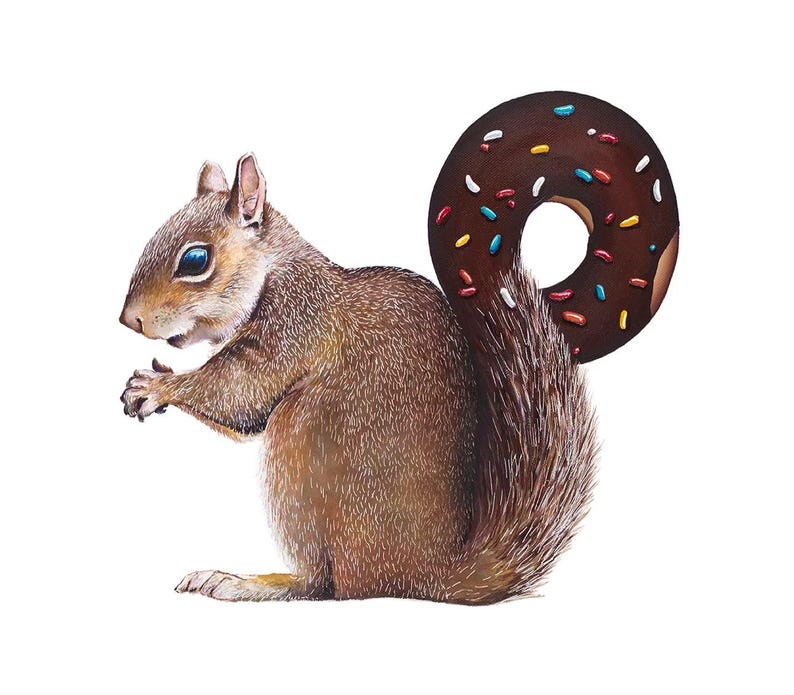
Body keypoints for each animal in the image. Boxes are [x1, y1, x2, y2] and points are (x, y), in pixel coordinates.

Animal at [120, 92, 677, 604]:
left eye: (195, 260)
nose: (129, 320)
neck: (277, 270)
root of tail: (432, 576)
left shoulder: (298, 322)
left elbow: (242, 393)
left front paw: (158, 386)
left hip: (302, 452)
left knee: (325, 586)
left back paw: (247, 583)